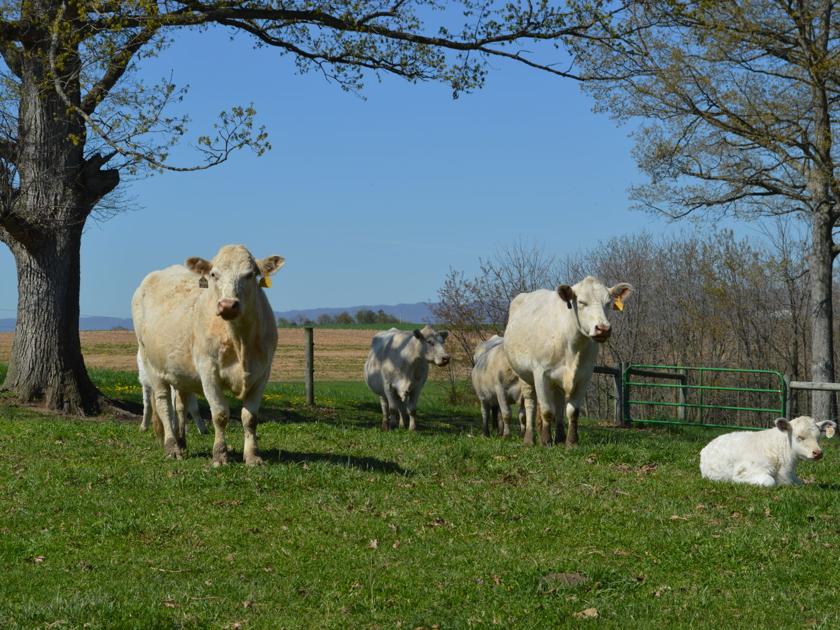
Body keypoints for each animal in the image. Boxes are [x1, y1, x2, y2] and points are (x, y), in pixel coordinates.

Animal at [131, 244, 284, 465]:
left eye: (250, 274)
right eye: (213, 274)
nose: (228, 305)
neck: (240, 342)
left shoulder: (262, 373)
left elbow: (250, 417)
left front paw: (253, 456)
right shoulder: (208, 371)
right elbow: (220, 414)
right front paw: (220, 455)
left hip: (180, 371)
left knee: (180, 405)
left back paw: (182, 442)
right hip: (151, 365)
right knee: (163, 405)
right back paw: (172, 447)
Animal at [503, 276, 633, 446]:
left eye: (608, 302)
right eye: (582, 302)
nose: (603, 329)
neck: (572, 346)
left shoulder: (584, 376)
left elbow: (572, 411)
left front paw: (571, 442)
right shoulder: (540, 374)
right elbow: (546, 410)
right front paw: (546, 441)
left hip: (557, 380)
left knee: (558, 407)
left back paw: (559, 438)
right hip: (524, 376)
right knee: (531, 404)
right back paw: (529, 439)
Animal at [699, 416, 836, 486]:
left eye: (818, 437)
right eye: (799, 437)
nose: (818, 453)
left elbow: (800, 482)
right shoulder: (744, 471)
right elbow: (769, 481)